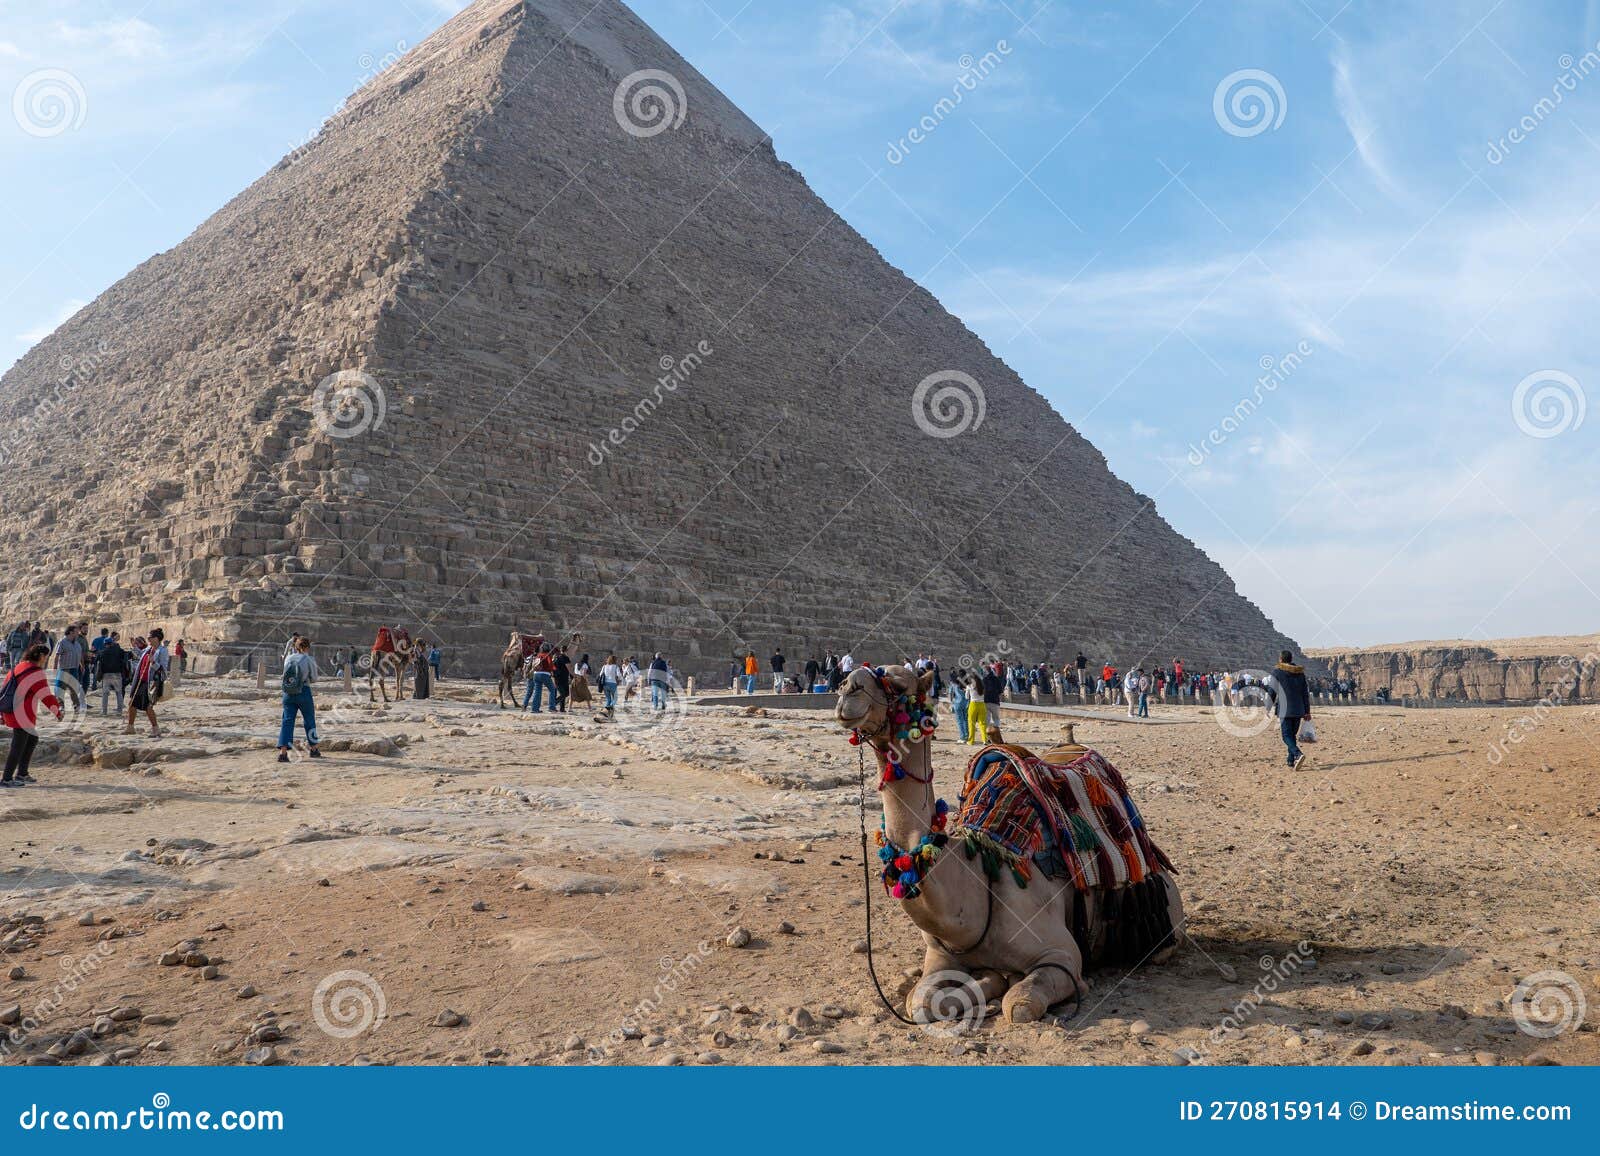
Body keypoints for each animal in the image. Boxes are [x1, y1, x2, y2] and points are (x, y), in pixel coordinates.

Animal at [835, 664, 1184, 1026]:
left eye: (899, 684)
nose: (847, 687)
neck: (978, 876)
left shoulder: (1061, 955)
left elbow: (1019, 1004)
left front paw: (1005, 984)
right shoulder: (939, 956)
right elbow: (921, 1003)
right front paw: (986, 980)